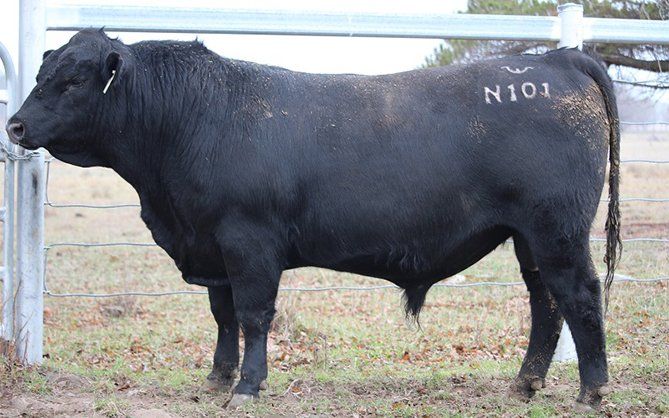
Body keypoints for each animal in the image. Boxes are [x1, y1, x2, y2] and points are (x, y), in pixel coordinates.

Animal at [6, 29, 620, 409]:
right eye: (42, 72)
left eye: (73, 80)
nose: (14, 126)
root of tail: (553, 58)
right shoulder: (213, 247)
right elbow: (222, 316)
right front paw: (218, 378)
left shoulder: (248, 242)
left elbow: (254, 315)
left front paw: (248, 386)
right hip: (528, 238)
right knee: (546, 304)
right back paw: (524, 385)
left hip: (556, 230)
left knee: (580, 296)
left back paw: (592, 391)